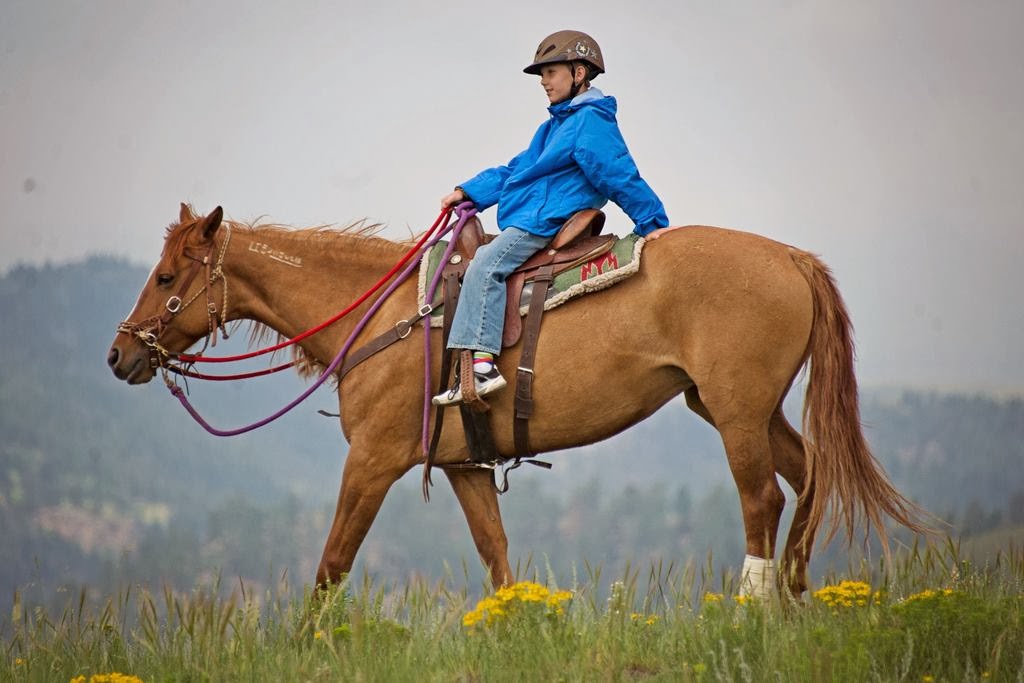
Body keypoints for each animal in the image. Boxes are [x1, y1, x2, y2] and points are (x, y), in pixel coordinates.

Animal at [107, 203, 929, 597]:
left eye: (167, 274)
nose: (119, 354)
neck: (383, 315)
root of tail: (792, 257)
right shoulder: (464, 465)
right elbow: (497, 556)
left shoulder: (371, 462)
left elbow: (332, 563)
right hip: (742, 408)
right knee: (810, 472)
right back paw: (794, 594)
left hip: (736, 414)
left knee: (763, 496)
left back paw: (756, 605)